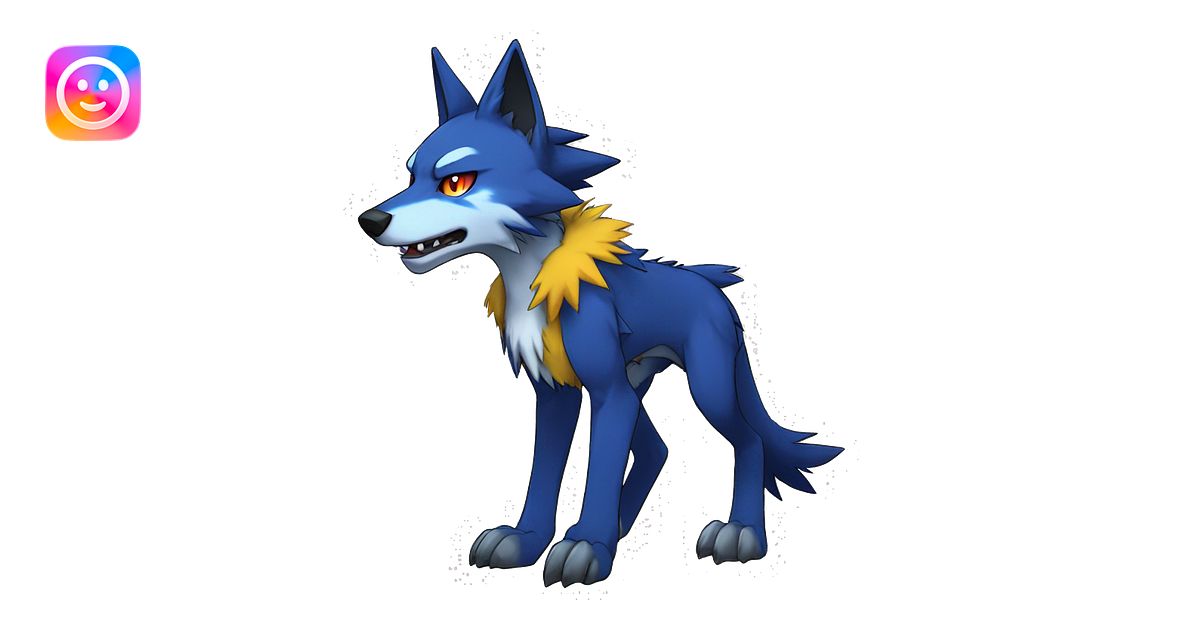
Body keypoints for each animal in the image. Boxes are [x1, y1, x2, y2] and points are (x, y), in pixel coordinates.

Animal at [358, 40, 843, 587]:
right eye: (410, 175)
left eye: (456, 182)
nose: (369, 220)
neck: (531, 276)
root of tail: (714, 288)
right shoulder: (557, 390)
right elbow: (545, 473)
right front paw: (531, 540)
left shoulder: (606, 392)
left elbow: (599, 467)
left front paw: (587, 545)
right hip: (637, 381)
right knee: (657, 449)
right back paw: (620, 525)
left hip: (705, 387)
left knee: (749, 441)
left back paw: (739, 534)